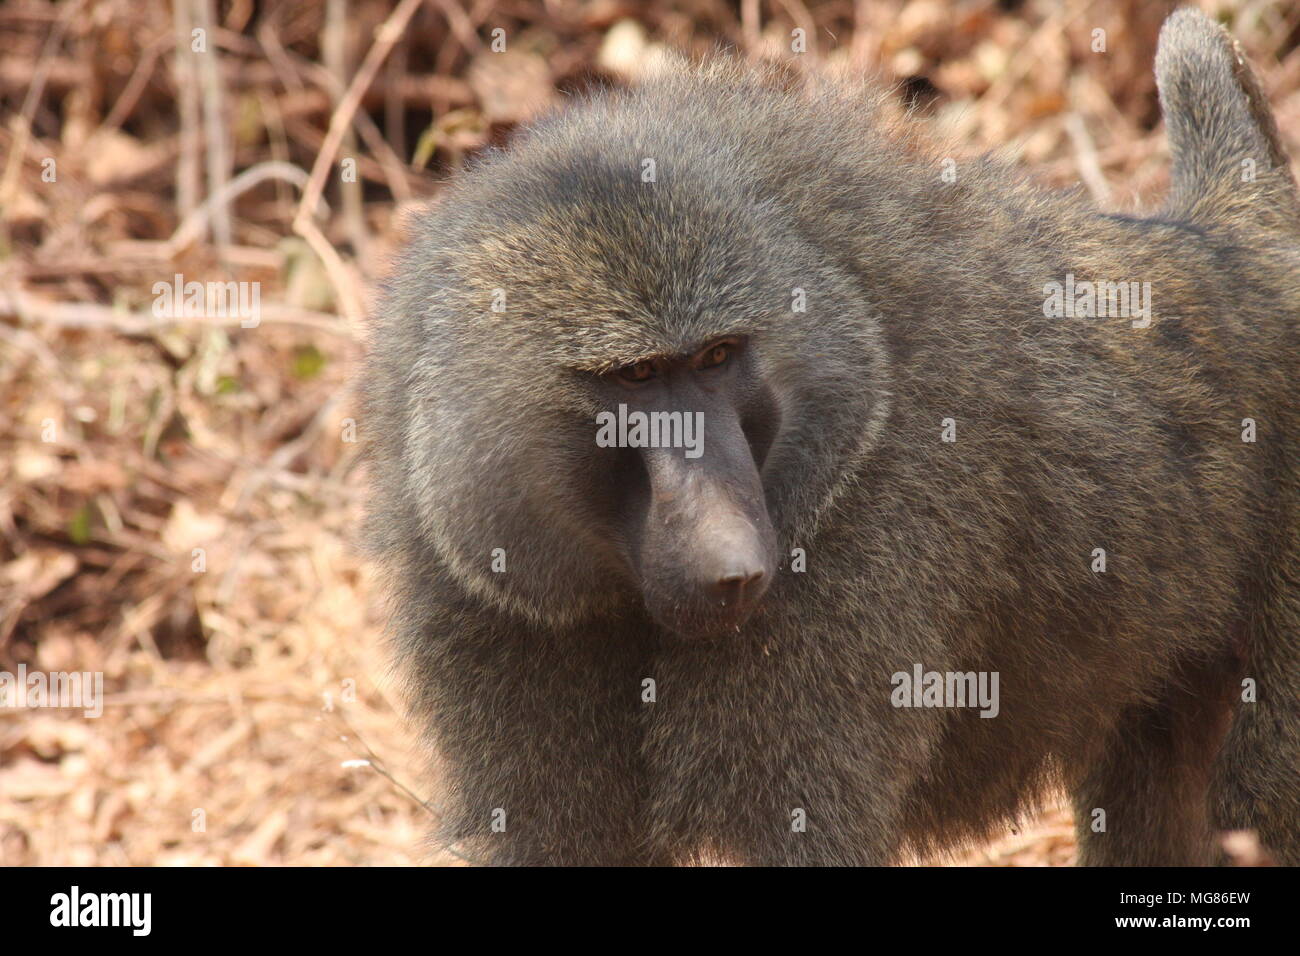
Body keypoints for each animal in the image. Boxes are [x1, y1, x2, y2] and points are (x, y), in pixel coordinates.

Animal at [361, 9, 1300, 866]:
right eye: (636, 378)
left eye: (717, 357)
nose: (737, 569)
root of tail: (1242, 241)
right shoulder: (491, 591)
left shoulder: (862, 539)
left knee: (1261, 797)